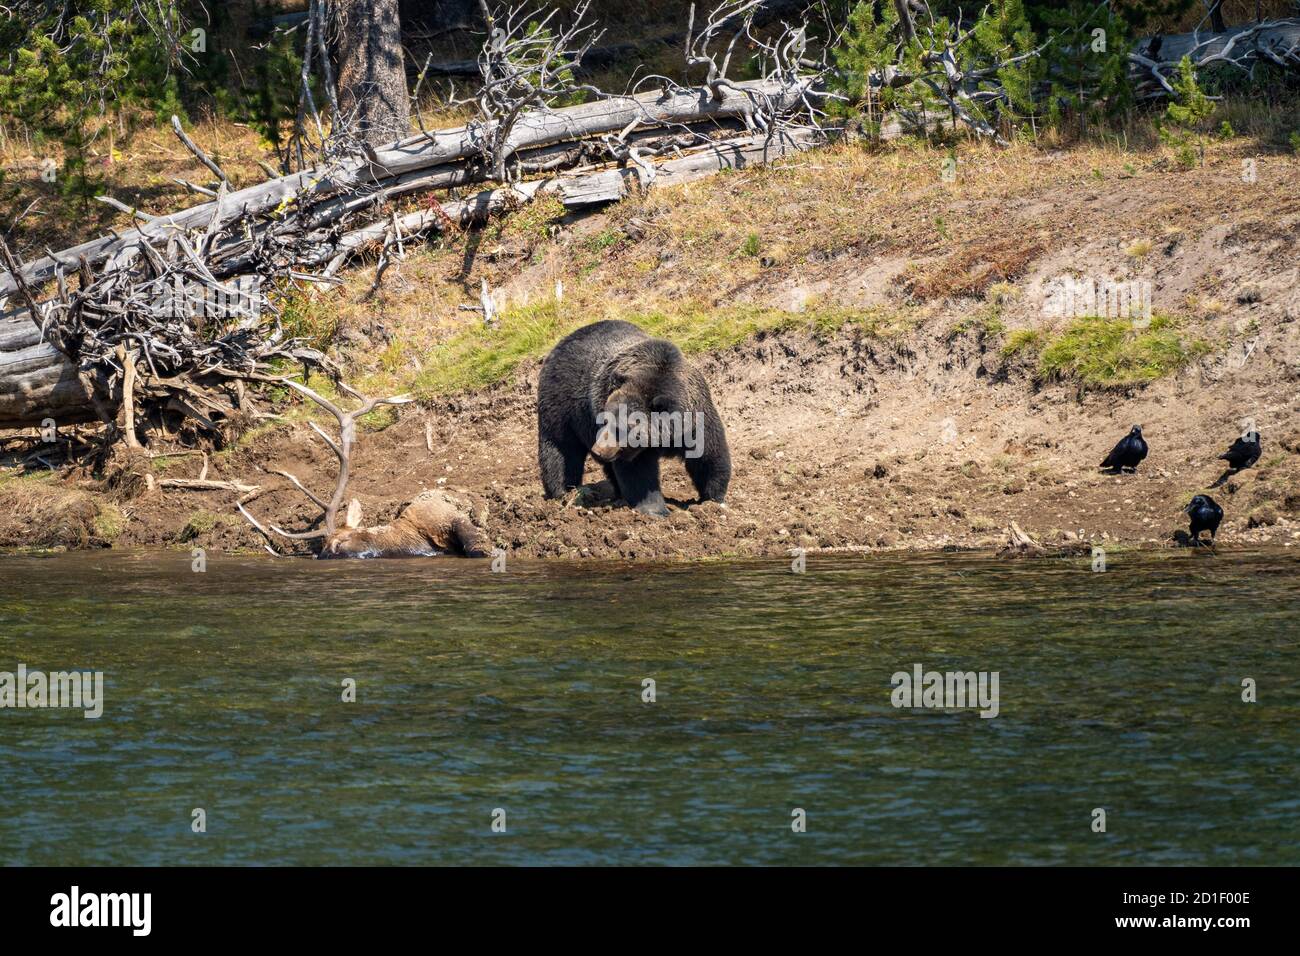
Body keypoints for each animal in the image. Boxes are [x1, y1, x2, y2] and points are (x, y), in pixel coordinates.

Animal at [537, 320, 731, 516]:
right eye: (605, 420)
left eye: (621, 428)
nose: (598, 450)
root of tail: (563, 341)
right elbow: (638, 472)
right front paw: (655, 509)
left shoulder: (694, 420)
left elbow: (708, 455)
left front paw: (713, 499)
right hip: (562, 405)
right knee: (561, 450)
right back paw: (564, 491)